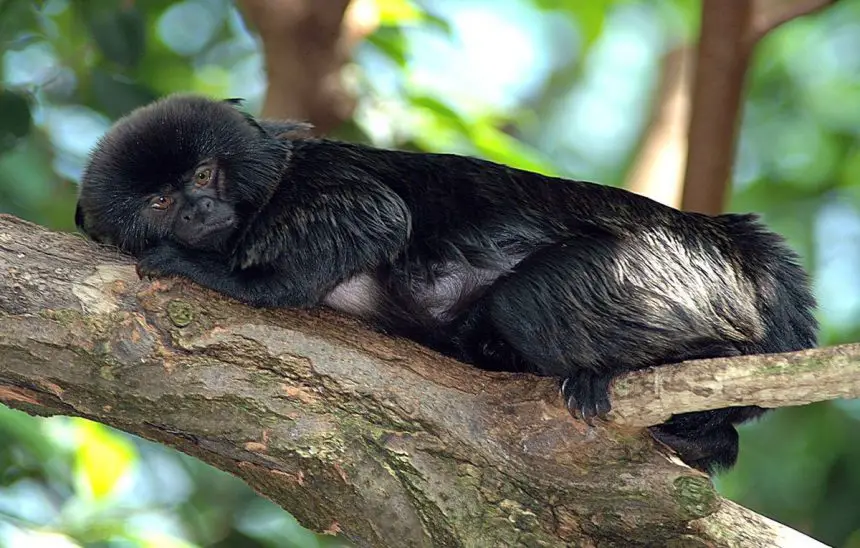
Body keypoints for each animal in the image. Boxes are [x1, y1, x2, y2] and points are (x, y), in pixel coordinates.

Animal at [74, 94, 818, 474]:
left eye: (203, 175)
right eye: (161, 201)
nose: (199, 212)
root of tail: (725, 238)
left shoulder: (313, 179)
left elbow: (377, 217)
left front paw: (212, 272)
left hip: (661, 266)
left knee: (527, 306)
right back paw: (702, 437)